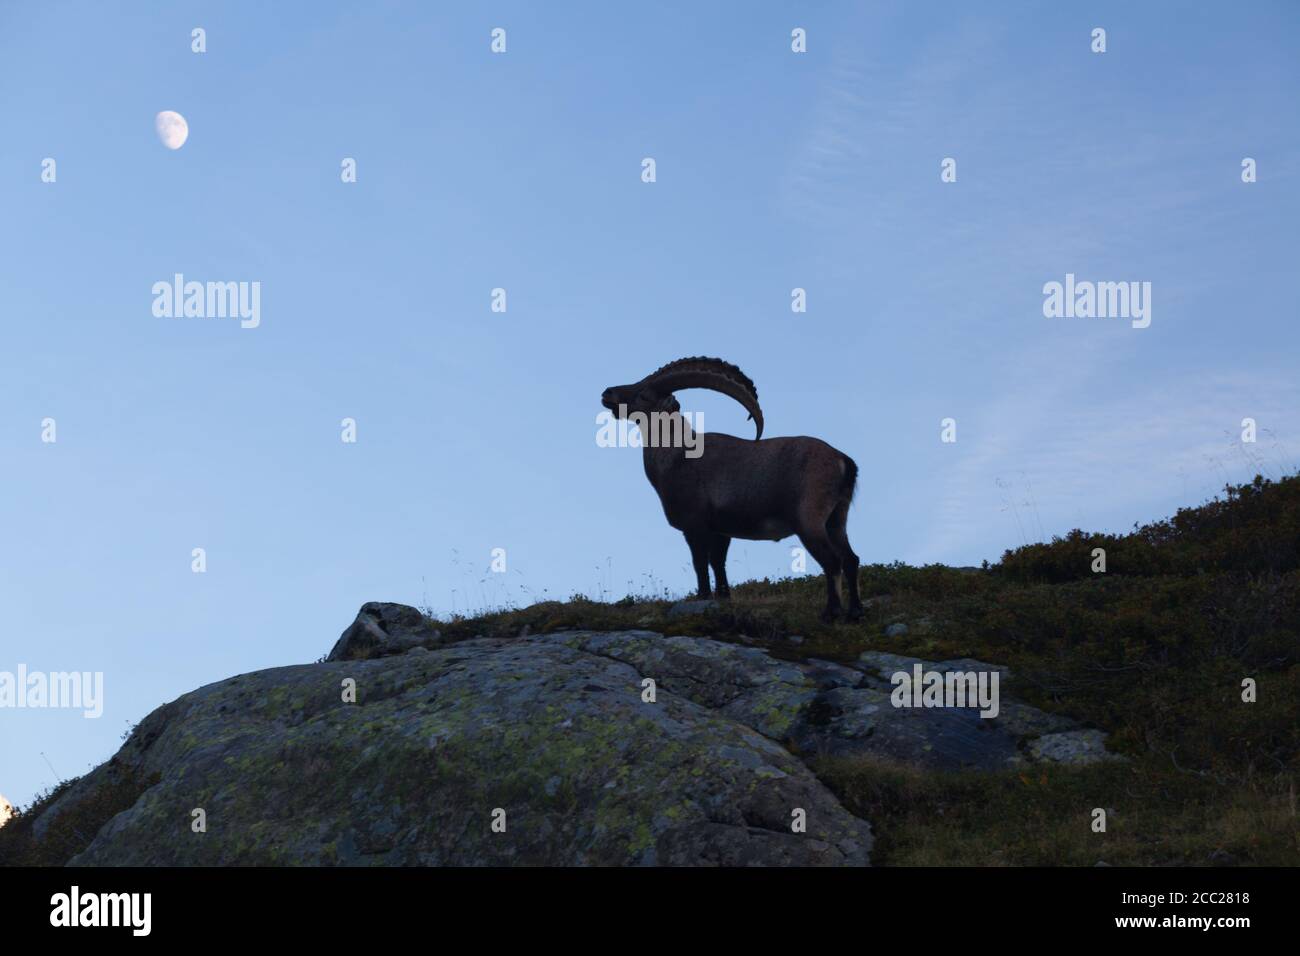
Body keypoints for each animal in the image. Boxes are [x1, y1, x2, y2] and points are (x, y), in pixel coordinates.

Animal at [601, 356, 863, 622]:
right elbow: (718, 562)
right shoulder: (721, 529)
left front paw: (703, 596)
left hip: (809, 520)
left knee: (832, 561)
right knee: (851, 559)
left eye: (644, 395)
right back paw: (855, 611)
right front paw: (723, 597)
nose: (607, 393)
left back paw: (831, 612)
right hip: (837, 518)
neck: (678, 454)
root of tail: (842, 461)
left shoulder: (694, 525)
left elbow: (700, 562)